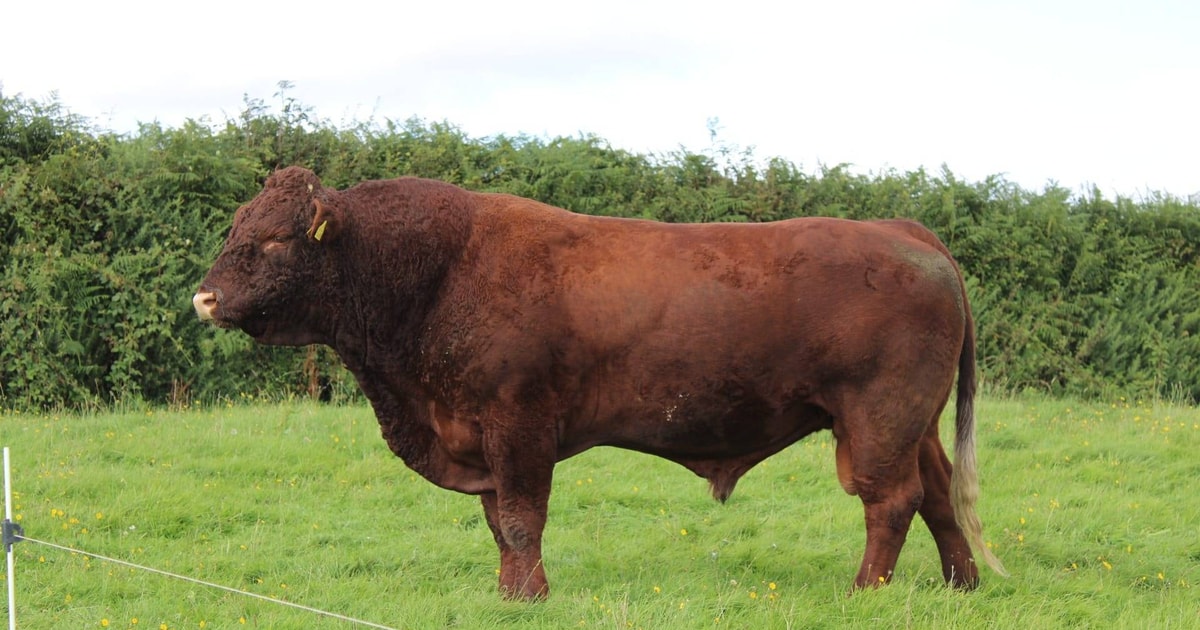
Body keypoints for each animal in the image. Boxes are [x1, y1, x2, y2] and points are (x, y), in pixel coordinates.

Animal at [192, 166, 1006, 600]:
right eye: (235, 228)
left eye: (273, 241)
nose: (203, 298)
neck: (436, 272)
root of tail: (903, 229)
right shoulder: (480, 437)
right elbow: (499, 522)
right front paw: (507, 592)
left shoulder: (518, 423)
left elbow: (522, 518)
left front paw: (530, 596)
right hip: (911, 422)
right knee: (938, 494)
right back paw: (961, 584)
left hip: (878, 419)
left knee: (890, 501)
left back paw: (865, 591)